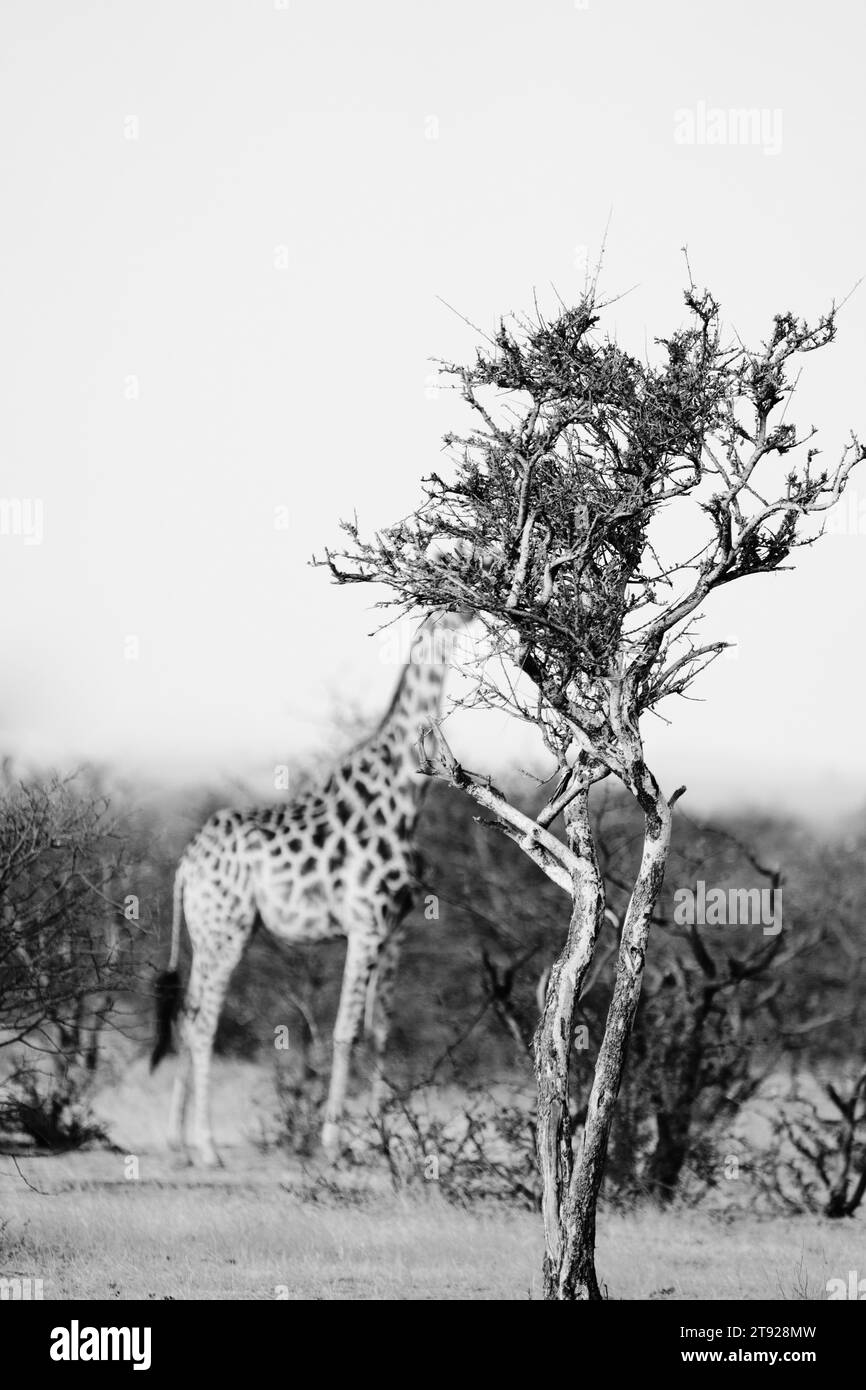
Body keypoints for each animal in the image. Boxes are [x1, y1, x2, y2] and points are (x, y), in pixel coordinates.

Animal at [151, 609, 467, 1165]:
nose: (476, 611)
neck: (405, 797)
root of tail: (185, 865)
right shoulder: (364, 925)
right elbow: (345, 1031)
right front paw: (334, 1144)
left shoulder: (394, 930)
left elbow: (380, 1031)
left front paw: (384, 1140)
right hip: (227, 931)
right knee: (202, 1023)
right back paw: (207, 1147)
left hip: (207, 933)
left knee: (186, 1015)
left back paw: (177, 1142)